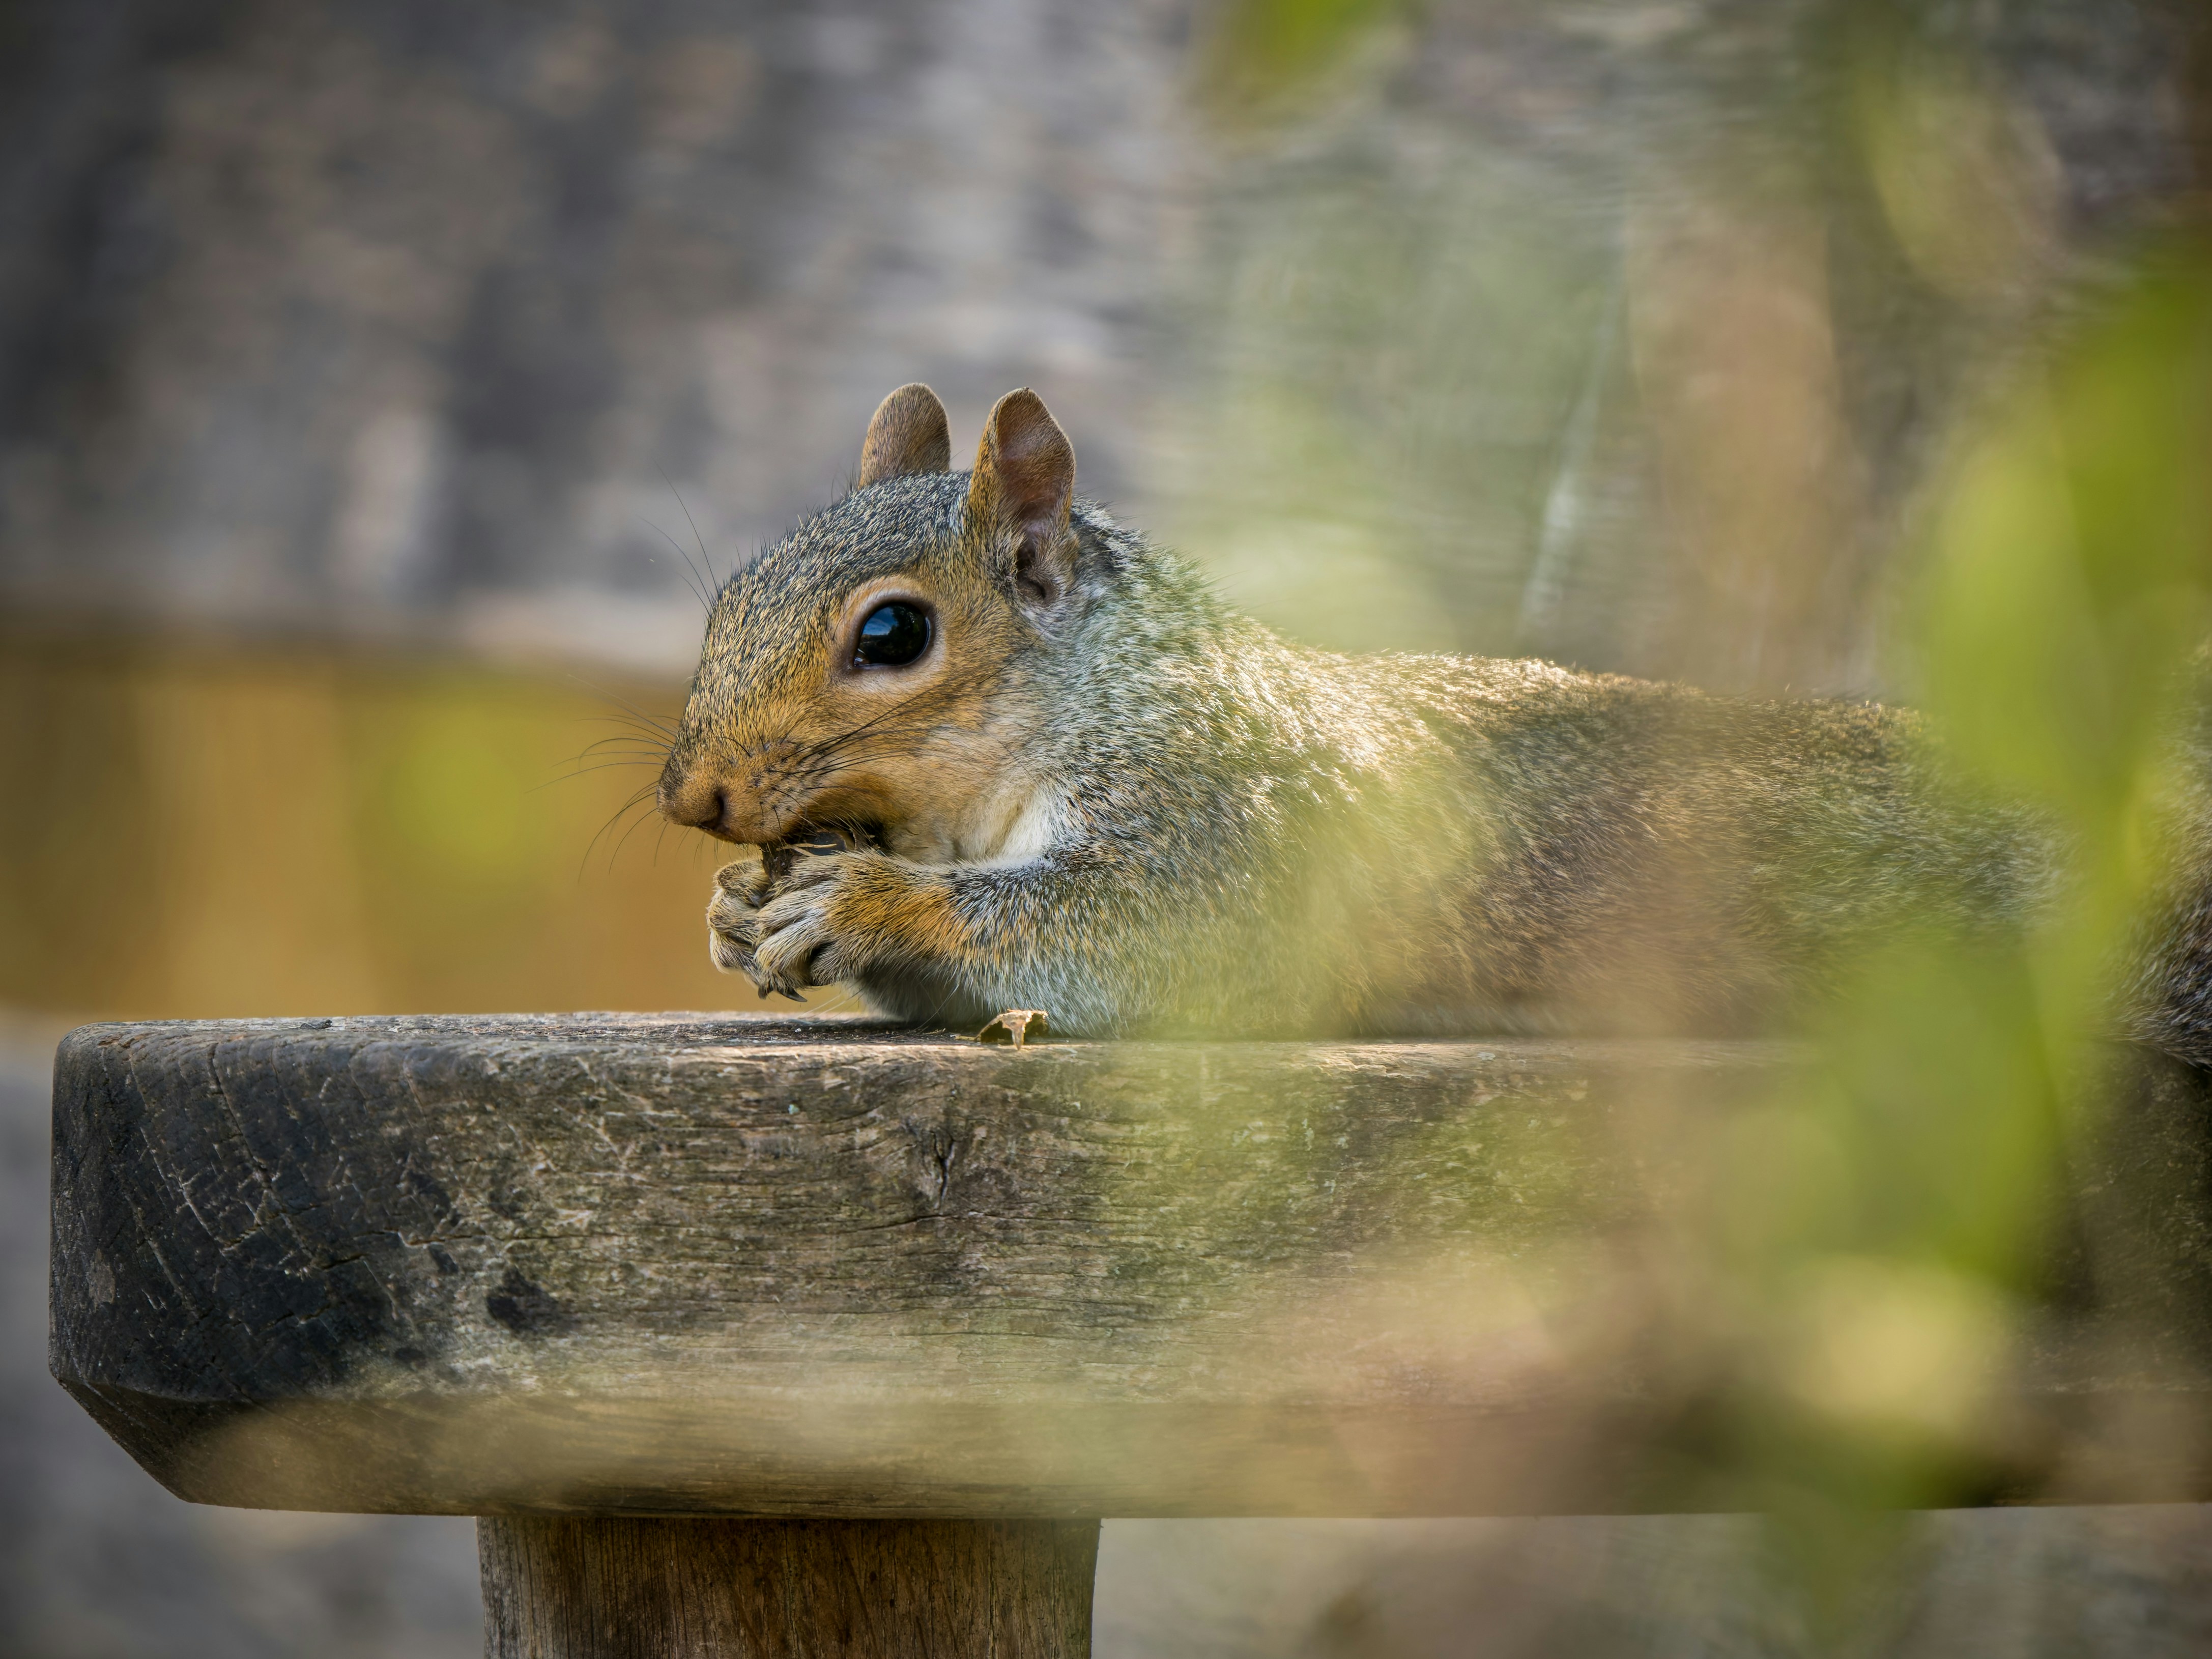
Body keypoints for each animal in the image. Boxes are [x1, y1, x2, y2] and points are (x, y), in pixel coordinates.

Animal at [657, 382, 2212, 1056]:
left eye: (892, 635)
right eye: (727, 591)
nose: (694, 801)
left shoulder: (1233, 816)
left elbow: (1143, 929)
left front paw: (866, 902)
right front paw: (739, 910)